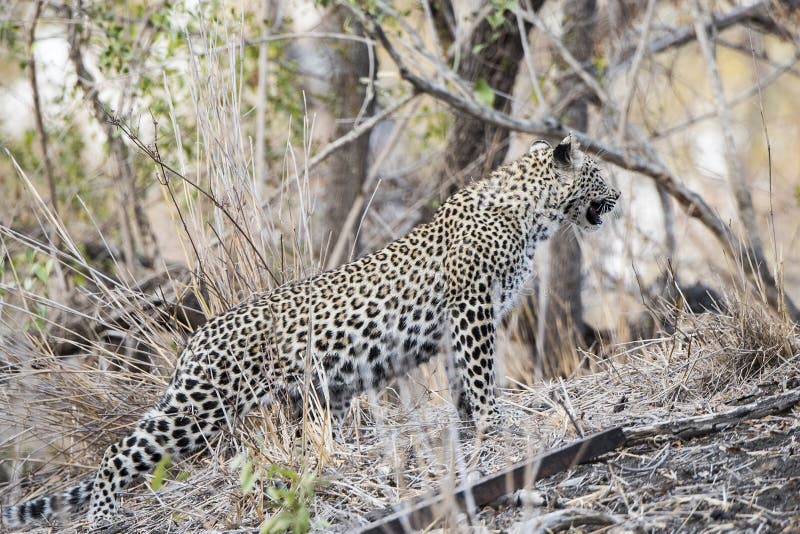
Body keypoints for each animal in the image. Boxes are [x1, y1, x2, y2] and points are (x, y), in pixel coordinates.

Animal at [2, 134, 620, 529]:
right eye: (600, 176)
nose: (615, 201)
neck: (533, 216)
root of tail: (199, 337)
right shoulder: (471, 307)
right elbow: (481, 369)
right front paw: (497, 418)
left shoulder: (460, 322)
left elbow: (464, 377)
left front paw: (473, 424)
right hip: (201, 406)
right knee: (119, 450)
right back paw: (103, 514)